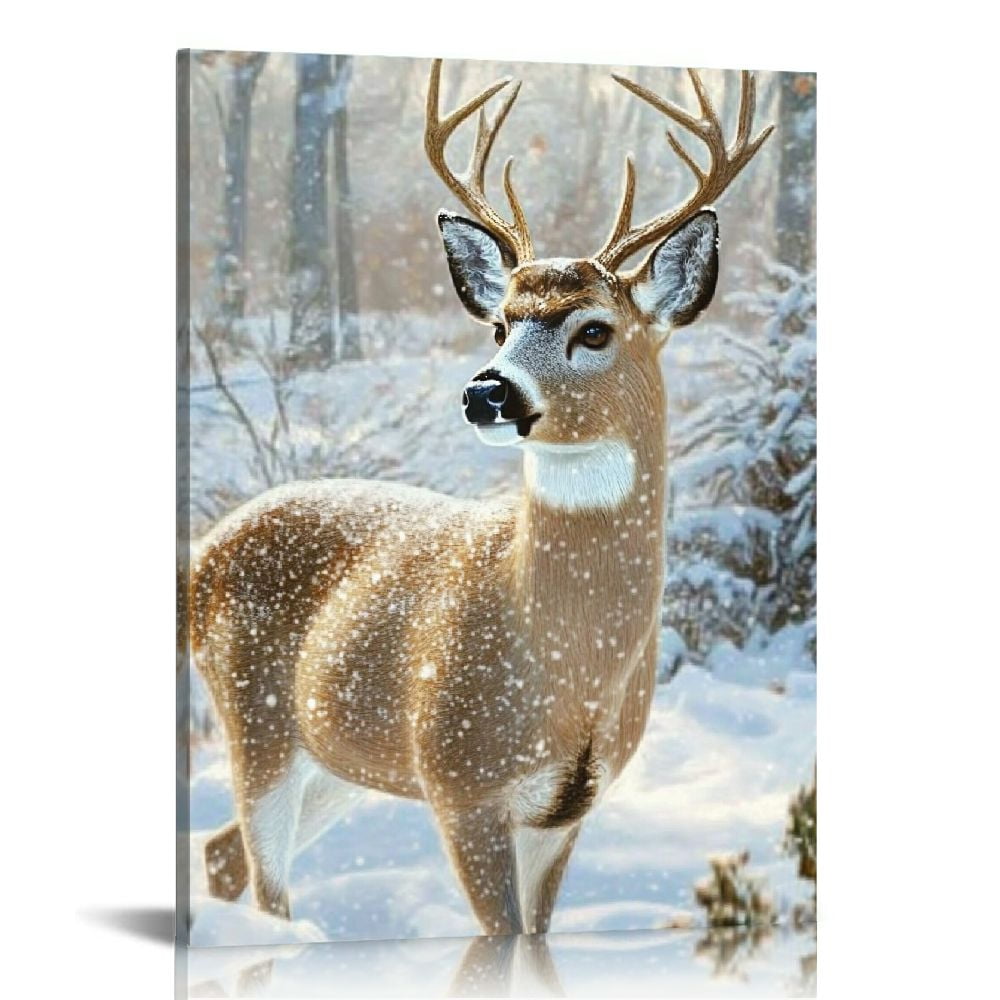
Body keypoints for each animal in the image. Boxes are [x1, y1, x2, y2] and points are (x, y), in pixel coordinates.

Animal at [189, 58, 773, 938]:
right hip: (255, 717)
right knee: (264, 877)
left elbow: (535, 937)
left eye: (594, 330)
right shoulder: (460, 780)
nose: (485, 392)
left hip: (335, 757)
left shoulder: (564, 811)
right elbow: (497, 938)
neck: (568, 665)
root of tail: (198, 556)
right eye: (500, 324)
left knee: (221, 853)